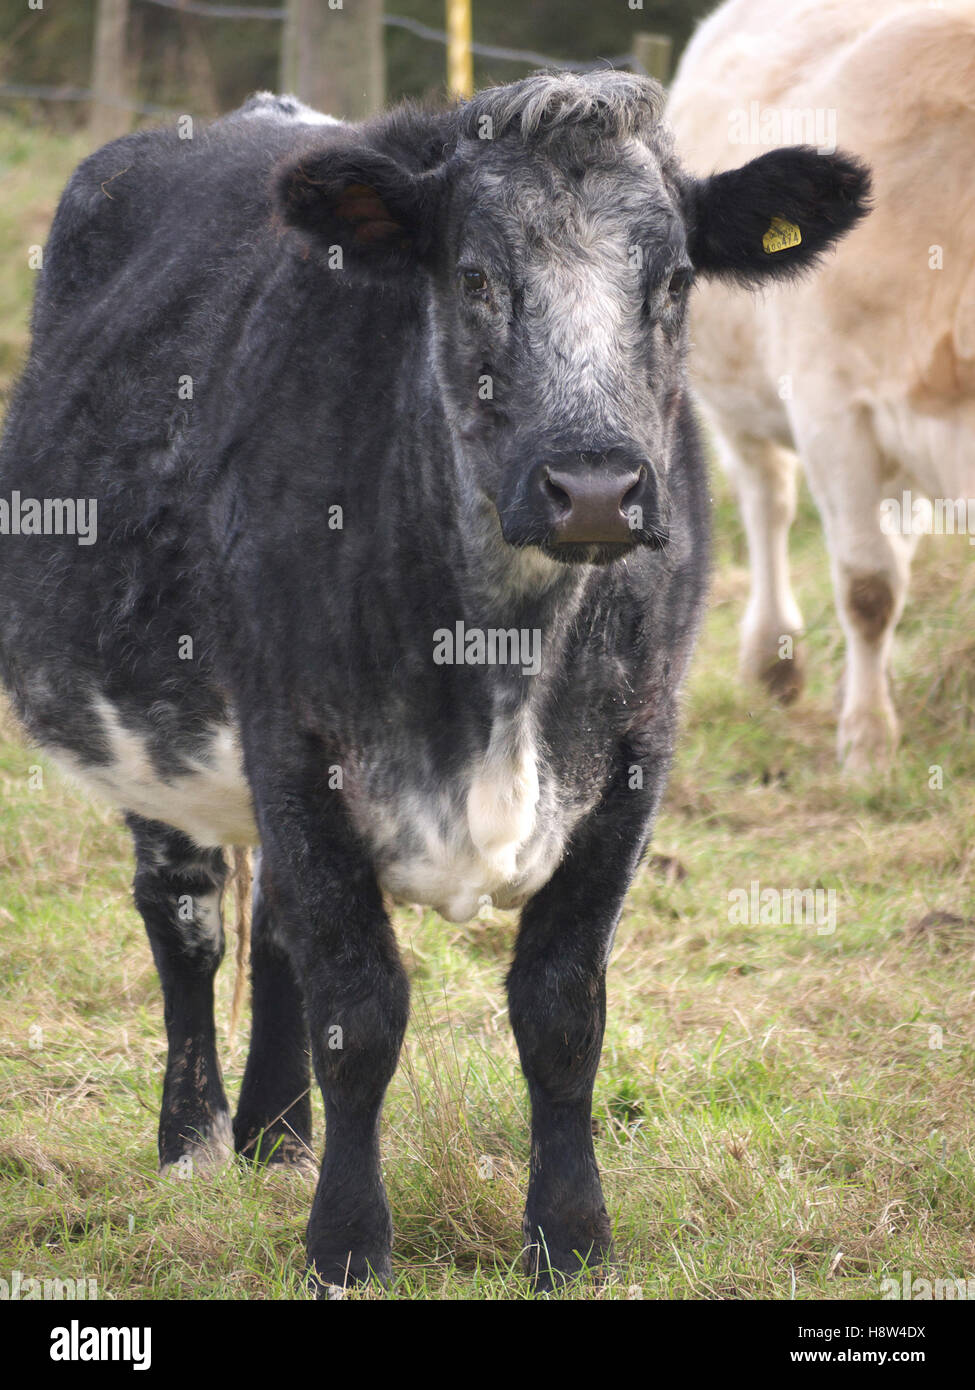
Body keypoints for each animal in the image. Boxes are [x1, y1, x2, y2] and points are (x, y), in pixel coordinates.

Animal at [0, 73, 869, 1292]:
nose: (594, 487)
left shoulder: (636, 756)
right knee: (189, 922)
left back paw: (278, 1137)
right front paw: (348, 1243)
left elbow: (560, 1008)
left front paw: (571, 1237)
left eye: (676, 281)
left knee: (272, 930)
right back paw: (197, 1139)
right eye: (472, 276)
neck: (502, 657)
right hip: (155, 744)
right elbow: (360, 1010)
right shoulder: (295, 740)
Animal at [668, 0, 975, 770]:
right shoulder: (832, 408)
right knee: (768, 505)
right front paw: (867, 741)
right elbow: (868, 585)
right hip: (738, 406)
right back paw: (773, 663)